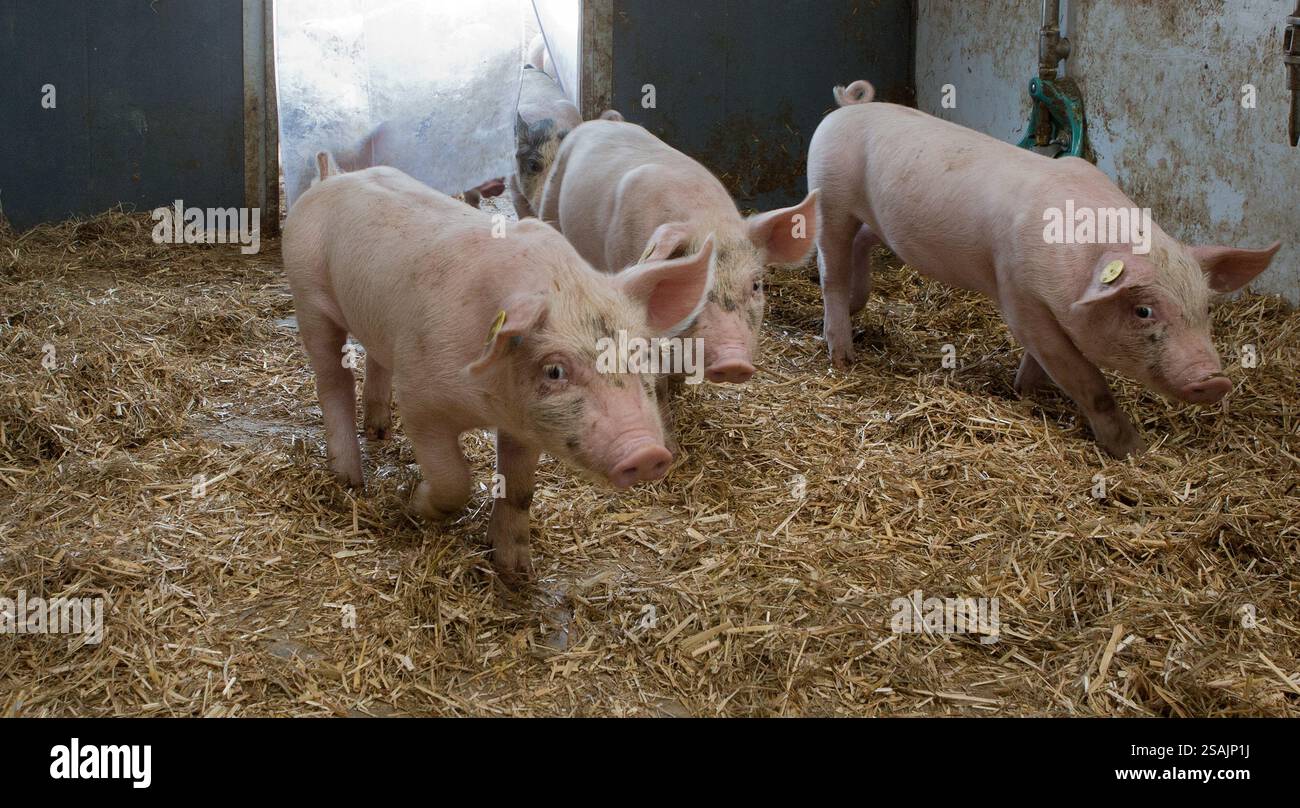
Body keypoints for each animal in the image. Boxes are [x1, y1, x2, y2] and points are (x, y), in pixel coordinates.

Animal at [282, 157, 716, 583]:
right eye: (554, 370)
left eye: (641, 356)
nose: (646, 452)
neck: (488, 404)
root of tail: (332, 177)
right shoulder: (419, 401)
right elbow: (453, 479)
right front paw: (416, 503)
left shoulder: (527, 425)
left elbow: (520, 490)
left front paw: (515, 570)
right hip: (308, 295)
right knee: (333, 381)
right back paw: (349, 479)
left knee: (375, 359)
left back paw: (379, 432)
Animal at [808, 80, 1281, 457]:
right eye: (1143, 310)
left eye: (1206, 309)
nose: (1214, 380)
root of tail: (849, 107)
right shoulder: (1018, 295)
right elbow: (1087, 380)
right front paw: (1133, 449)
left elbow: (1043, 362)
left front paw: (1026, 392)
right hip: (828, 197)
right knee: (831, 270)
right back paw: (843, 357)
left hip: (879, 222)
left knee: (862, 242)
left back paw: (857, 308)